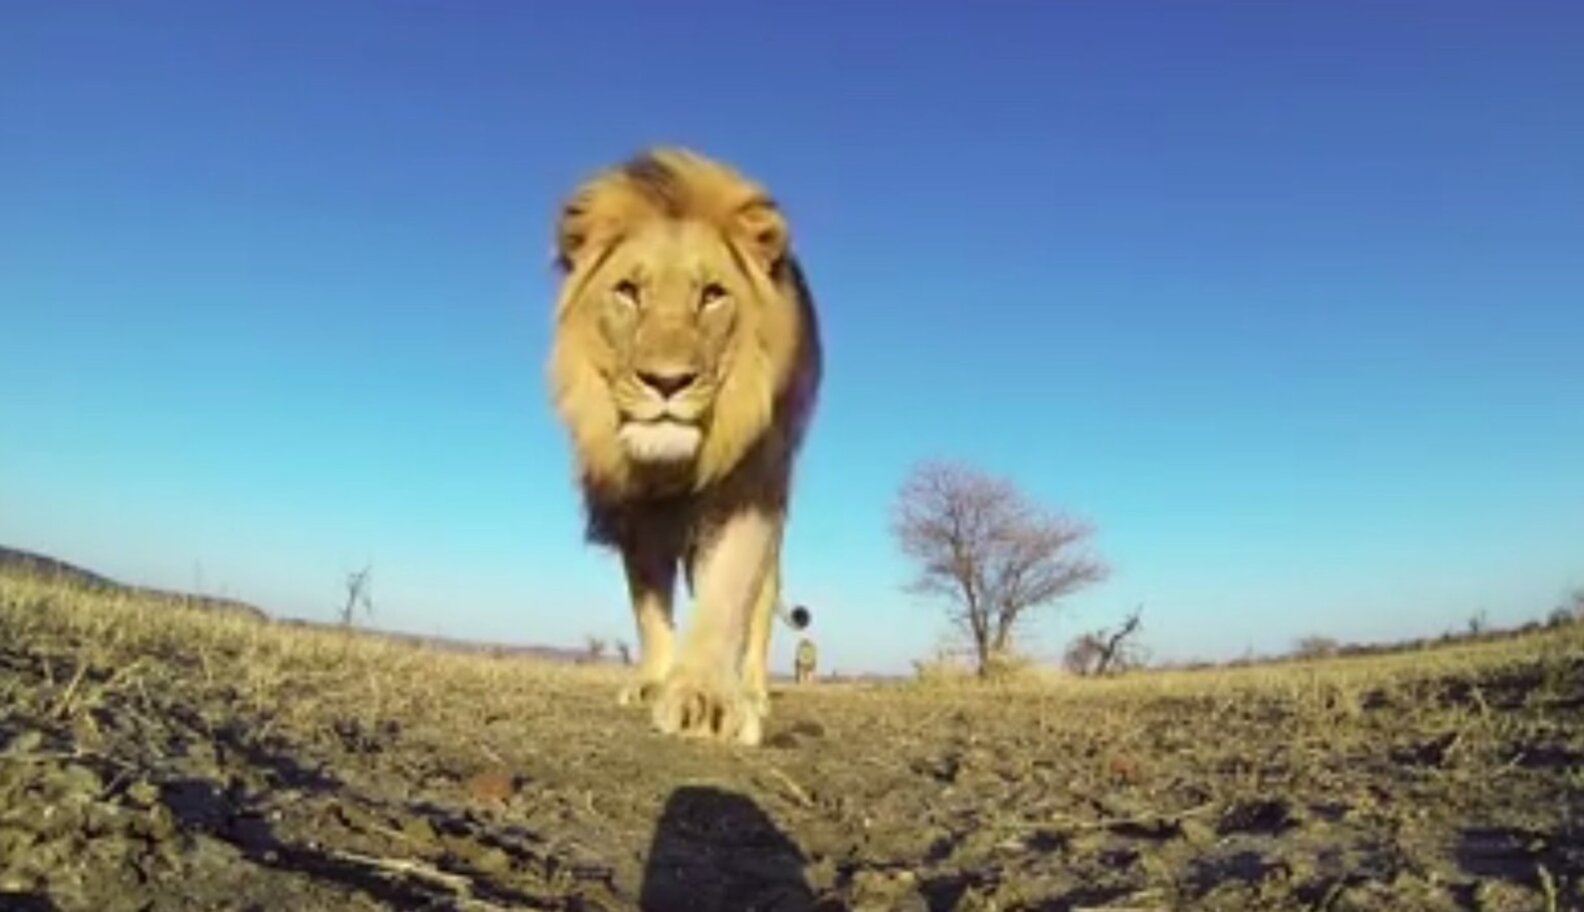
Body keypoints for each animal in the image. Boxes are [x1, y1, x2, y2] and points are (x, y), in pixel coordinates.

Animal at [545, 147, 822, 746]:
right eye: (628, 291)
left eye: (713, 294)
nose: (666, 382)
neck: (675, 466)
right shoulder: (637, 512)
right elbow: (649, 606)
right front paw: (655, 681)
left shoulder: (749, 489)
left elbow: (729, 593)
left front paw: (707, 698)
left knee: (758, 615)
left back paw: (754, 692)